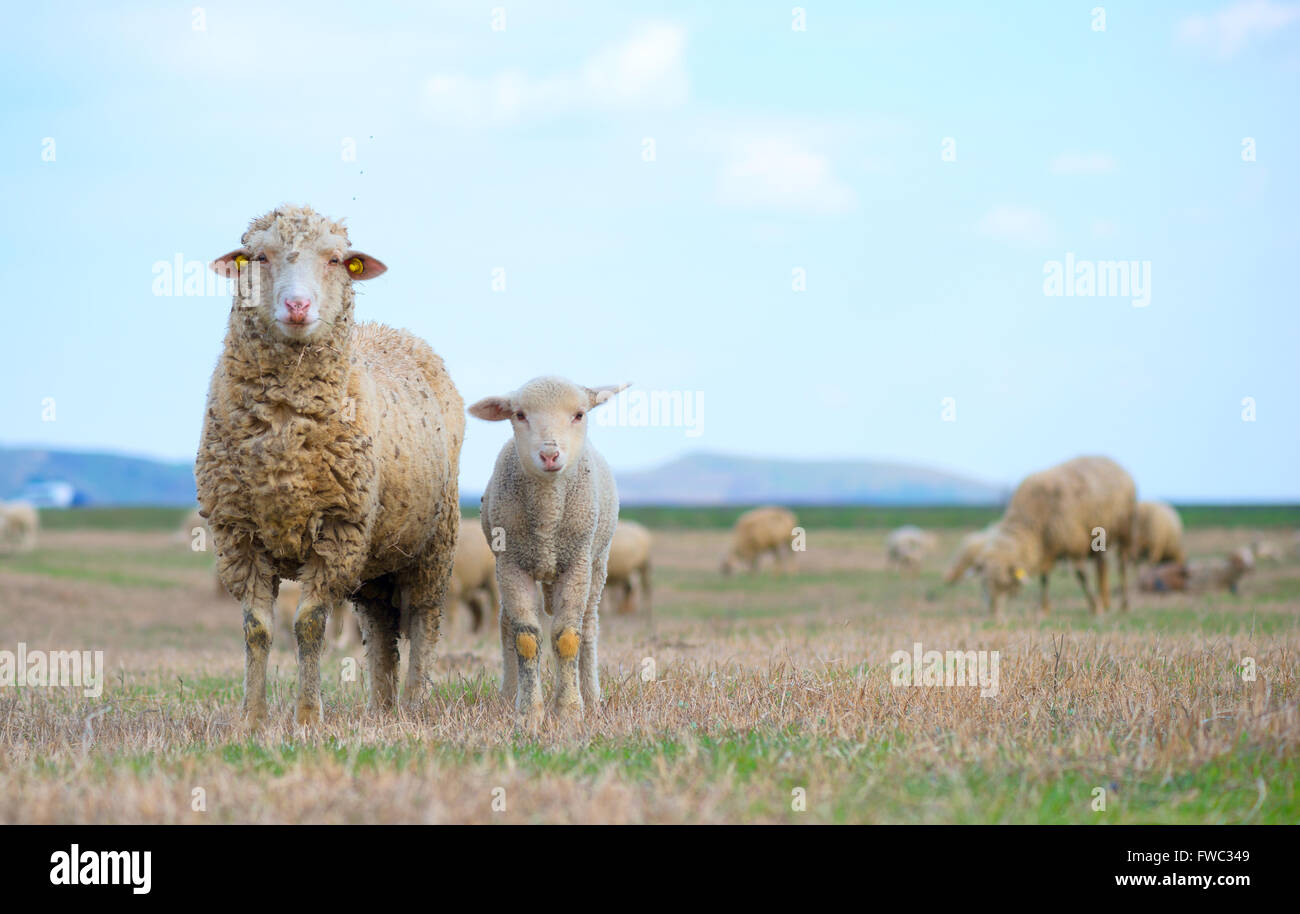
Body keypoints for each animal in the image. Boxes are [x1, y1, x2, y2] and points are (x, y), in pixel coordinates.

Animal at [196, 205, 464, 728]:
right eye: (259, 256)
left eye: (336, 259)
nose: (298, 306)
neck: (284, 424)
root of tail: (396, 332)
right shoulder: (238, 536)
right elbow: (256, 630)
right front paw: (252, 719)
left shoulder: (338, 534)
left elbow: (309, 627)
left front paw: (306, 717)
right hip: (377, 551)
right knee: (380, 627)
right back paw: (381, 708)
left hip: (434, 542)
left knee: (423, 621)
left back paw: (415, 703)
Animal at [470, 376, 629, 731]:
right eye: (519, 414)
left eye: (579, 414)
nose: (549, 453)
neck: (547, 518)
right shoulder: (512, 563)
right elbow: (526, 638)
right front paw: (529, 712)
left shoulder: (577, 562)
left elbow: (567, 636)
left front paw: (569, 711)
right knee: (506, 624)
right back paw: (508, 695)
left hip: (597, 562)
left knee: (589, 625)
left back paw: (591, 696)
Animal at [972, 456, 1136, 618]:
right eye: (983, 584)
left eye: (1005, 584)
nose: (993, 614)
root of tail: (1114, 463)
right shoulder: (1047, 550)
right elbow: (1044, 578)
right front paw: (1044, 609)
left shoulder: (1075, 544)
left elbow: (1082, 576)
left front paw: (1095, 606)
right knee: (1102, 565)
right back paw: (1106, 601)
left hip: (1125, 530)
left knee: (1123, 565)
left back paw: (1124, 603)